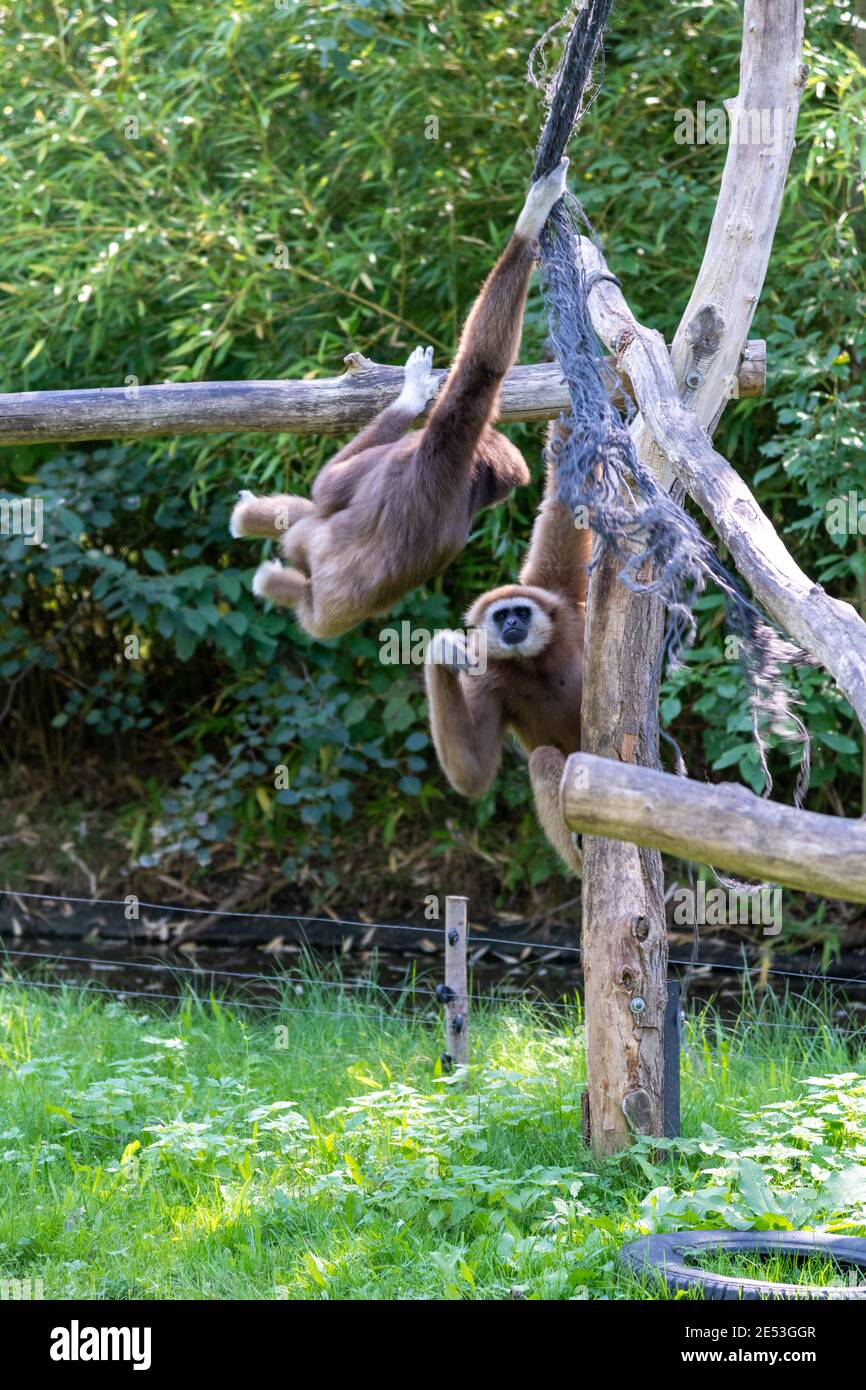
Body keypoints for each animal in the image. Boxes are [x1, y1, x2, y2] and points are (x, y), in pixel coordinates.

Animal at [228, 158, 570, 640]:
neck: (465, 486)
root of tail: (326, 614)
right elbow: (484, 370)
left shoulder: (426, 447)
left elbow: (481, 368)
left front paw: (530, 216)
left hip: (311, 554)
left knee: (318, 505)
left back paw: (249, 527)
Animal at [424, 420, 590, 877]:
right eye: (501, 618)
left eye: (519, 611)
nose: (513, 624)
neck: (535, 663)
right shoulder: (487, 676)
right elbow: (472, 773)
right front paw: (440, 652)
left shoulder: (557, 597)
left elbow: (564, 504)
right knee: (545, 759)